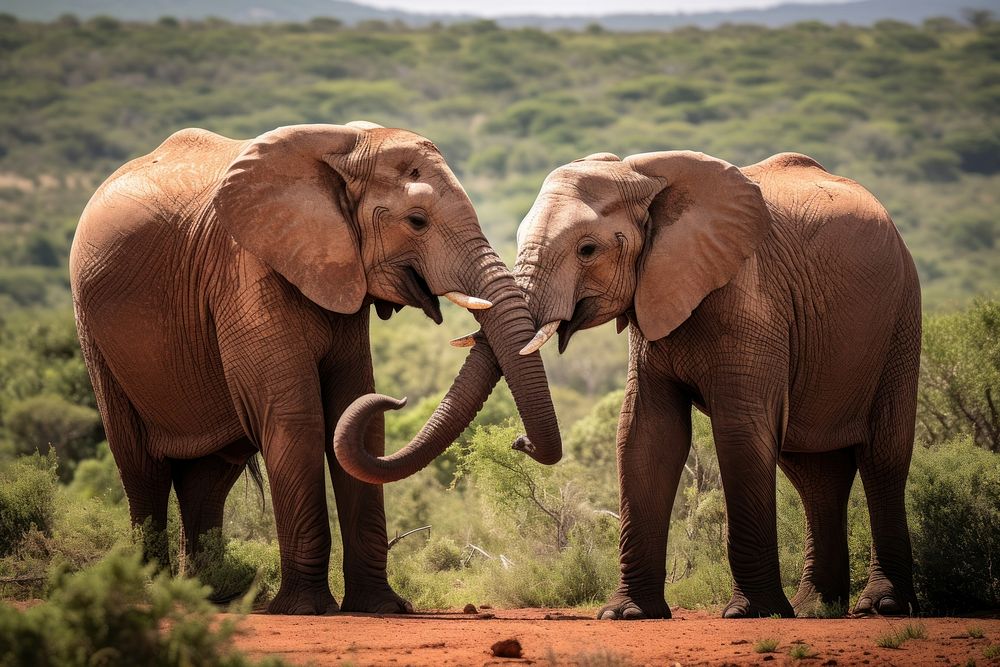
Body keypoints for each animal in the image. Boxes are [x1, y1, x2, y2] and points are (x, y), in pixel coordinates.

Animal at [70, 121, 562, 615]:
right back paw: (148, 591)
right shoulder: (246, 269)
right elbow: (297, 418)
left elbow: (357, 416)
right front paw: (306, 608)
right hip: (94, 334)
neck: (342, 148)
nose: (520, 442)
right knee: (140, 466)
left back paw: (206, 594)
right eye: (417, 221)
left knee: (210, 476)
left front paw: (380, 607)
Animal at [509, 149, 920, 620]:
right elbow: (646, 434)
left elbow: (740, 431)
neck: (645, 175)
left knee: (882, 456)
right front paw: (628, 614)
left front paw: (751, 613)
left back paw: (882, 606)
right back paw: (815, 609)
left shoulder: (752, 298)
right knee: (812, 473)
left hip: (900, 316)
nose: (518, 441)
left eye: (587, 250)